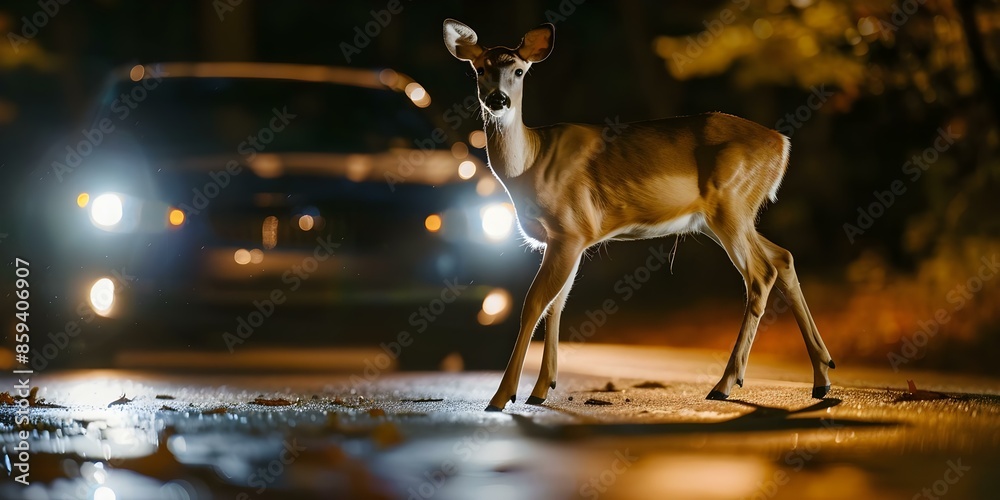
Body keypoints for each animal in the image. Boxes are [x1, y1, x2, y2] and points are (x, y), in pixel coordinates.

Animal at [442, 19, 835, 412]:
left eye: (520, 71)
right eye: (479, 69)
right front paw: (540, 389)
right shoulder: (568, 241)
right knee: (783, 258)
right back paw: (822, 378)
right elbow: (556, 307)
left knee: (761, 274)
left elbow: (534, 304)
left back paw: (725, 384)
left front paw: (501, 396)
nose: (498, 100)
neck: (530, 164)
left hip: (732, 205)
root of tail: (781, 144)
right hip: (723, 217)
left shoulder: (570, 230)